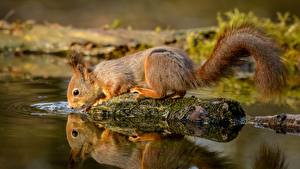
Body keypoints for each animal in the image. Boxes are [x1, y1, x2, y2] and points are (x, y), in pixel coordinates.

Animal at [67, 25, 286, 109]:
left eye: (76, 92)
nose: (70, 107)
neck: (97, 78)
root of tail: (187, 74)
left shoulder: (114, 78)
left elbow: (116, 89)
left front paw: (100, 100)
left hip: (155, 65)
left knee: (161, 92)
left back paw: (144, 92)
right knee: (180, 92)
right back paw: (174, 95)